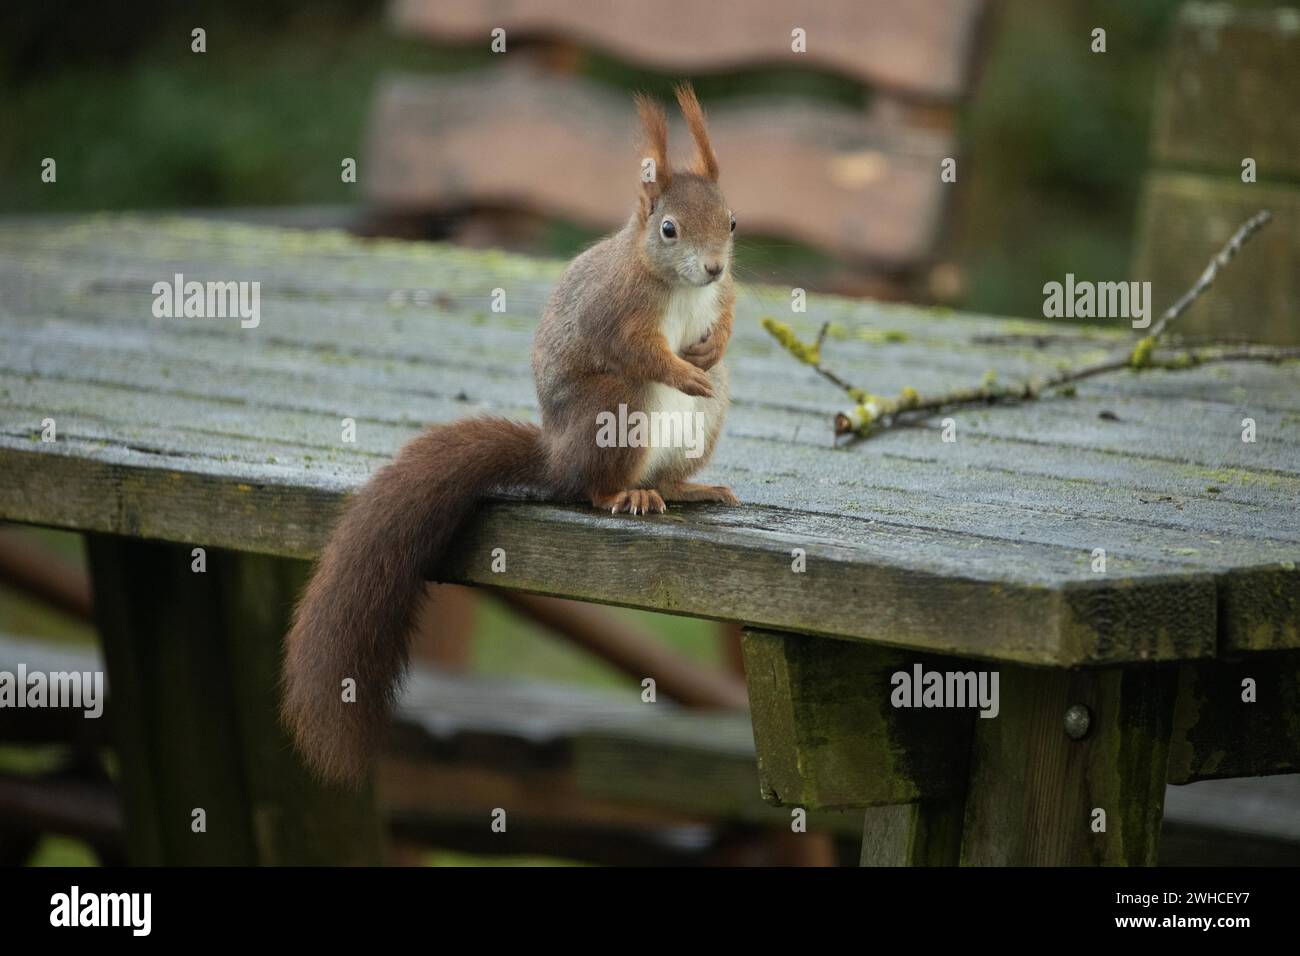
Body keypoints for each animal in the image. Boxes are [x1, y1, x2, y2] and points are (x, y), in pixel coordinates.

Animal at [282, 83, 739, 784]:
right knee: (594, 485)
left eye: (733, 222)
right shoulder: (619, 312)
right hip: (616, 411)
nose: (714, 267)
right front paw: (684, 370)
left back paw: (687, 488)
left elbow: (732, 311)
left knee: (669, 470)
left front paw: (712, 348)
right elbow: (639, 351)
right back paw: (623, 494)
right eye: (668, 229)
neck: (679, 287)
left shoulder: (721, 297)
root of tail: (558, 456)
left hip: (701, 425)